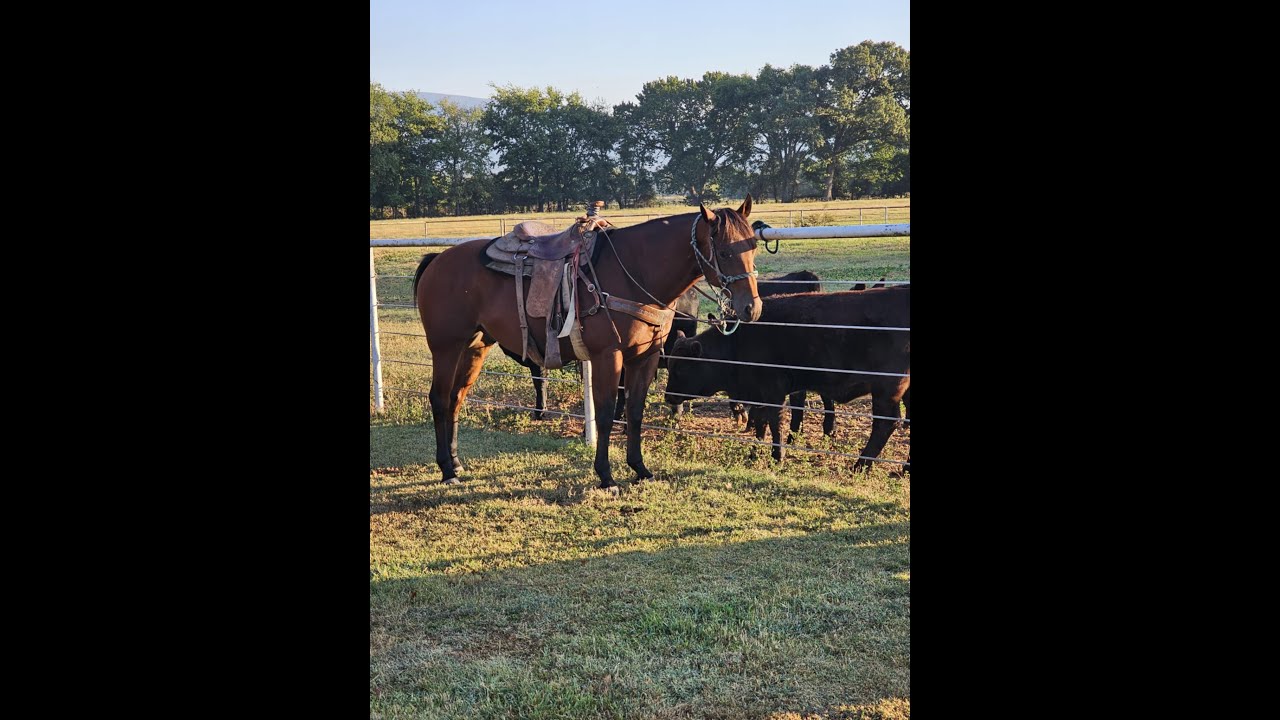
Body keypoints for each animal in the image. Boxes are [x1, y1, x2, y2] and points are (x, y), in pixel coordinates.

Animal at [413, 197, 763, 489]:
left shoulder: (645, 357)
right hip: (446, 347)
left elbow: (635, 411)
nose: (751, 308)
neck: (634, 271)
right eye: (724, 252)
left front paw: (640, 468)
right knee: (440, 399)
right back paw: (446, 469)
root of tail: (438, 259)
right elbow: (606, 413)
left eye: (753, 247)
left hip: (476, 346)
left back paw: (456, 463)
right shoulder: (608, 356)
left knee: (456, 398)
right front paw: (606, 476)